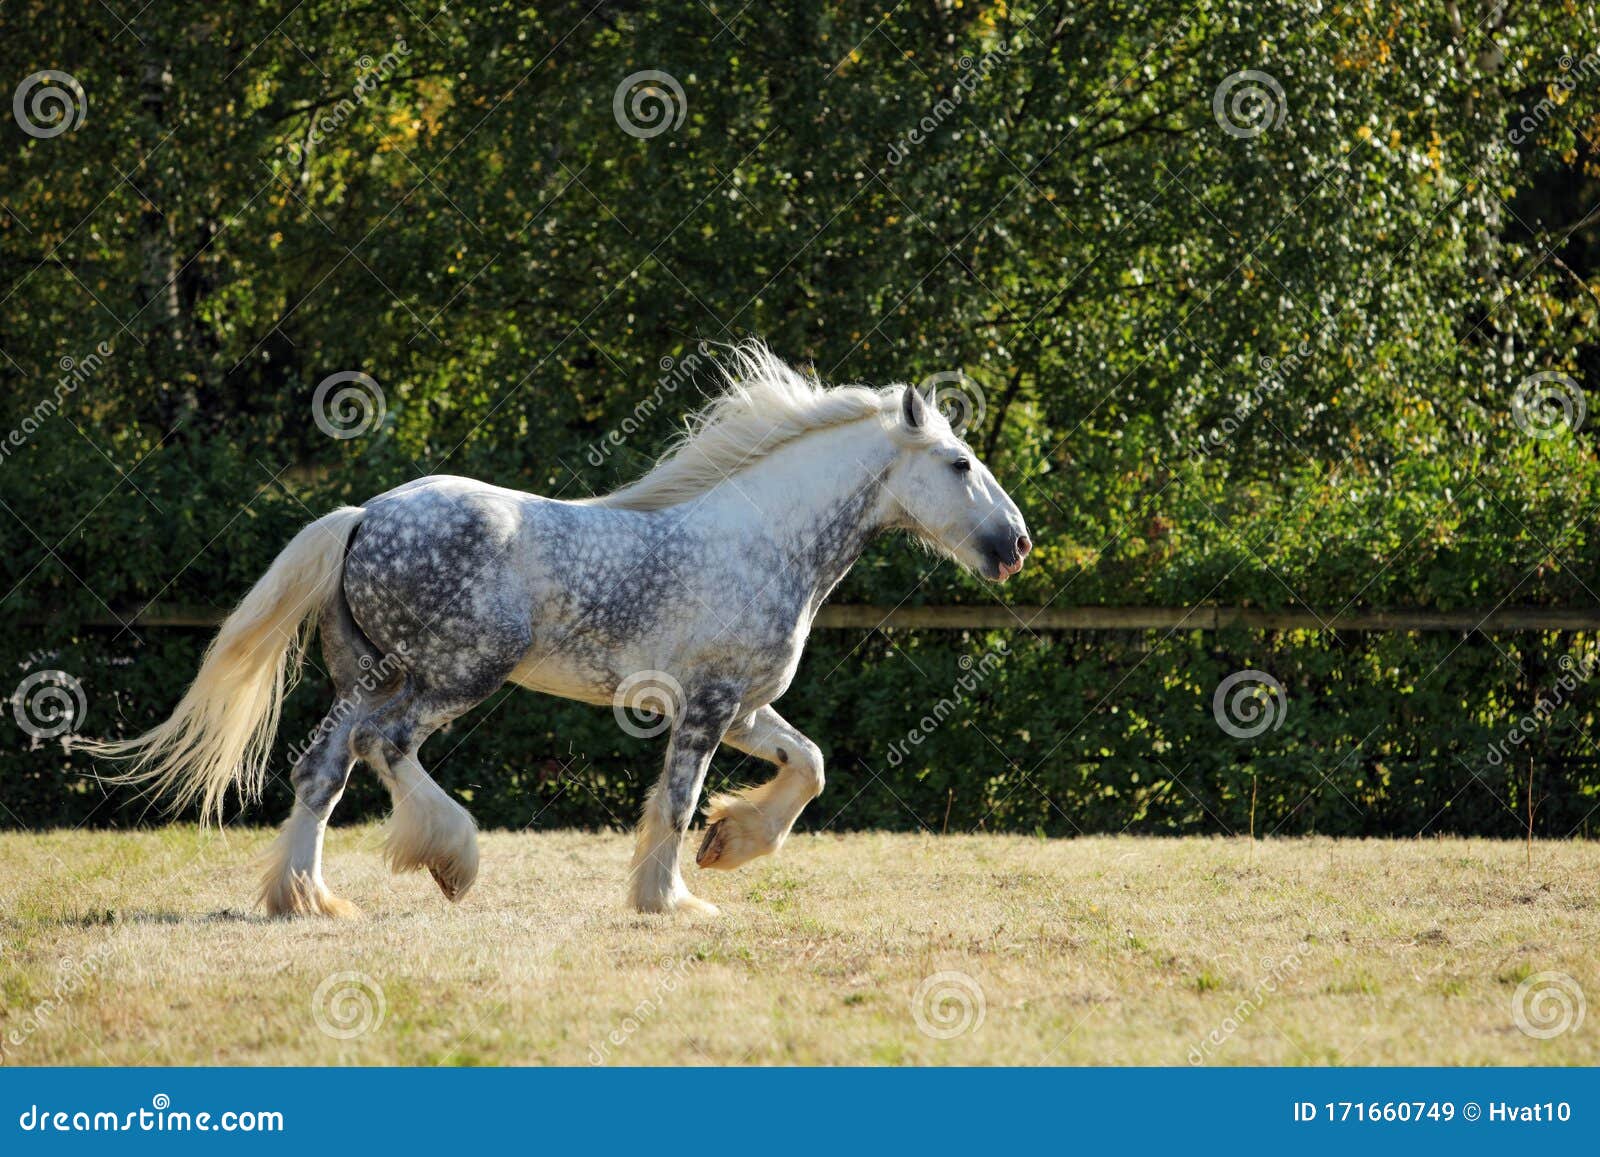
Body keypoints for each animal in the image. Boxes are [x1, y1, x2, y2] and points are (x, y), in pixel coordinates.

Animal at [82, 343, 1033, 917]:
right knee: (387, 745)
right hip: (458, 673)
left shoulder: (746, 706)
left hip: (369, 675)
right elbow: (677, 798)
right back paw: (450, 858)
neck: (765, 538)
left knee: (324, 767)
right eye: (959, 463)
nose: (1016, 544)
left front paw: (729, 845)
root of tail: (362, 516)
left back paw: (307, 897)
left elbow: (810, 764)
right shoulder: (708, 704)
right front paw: (670, 898)